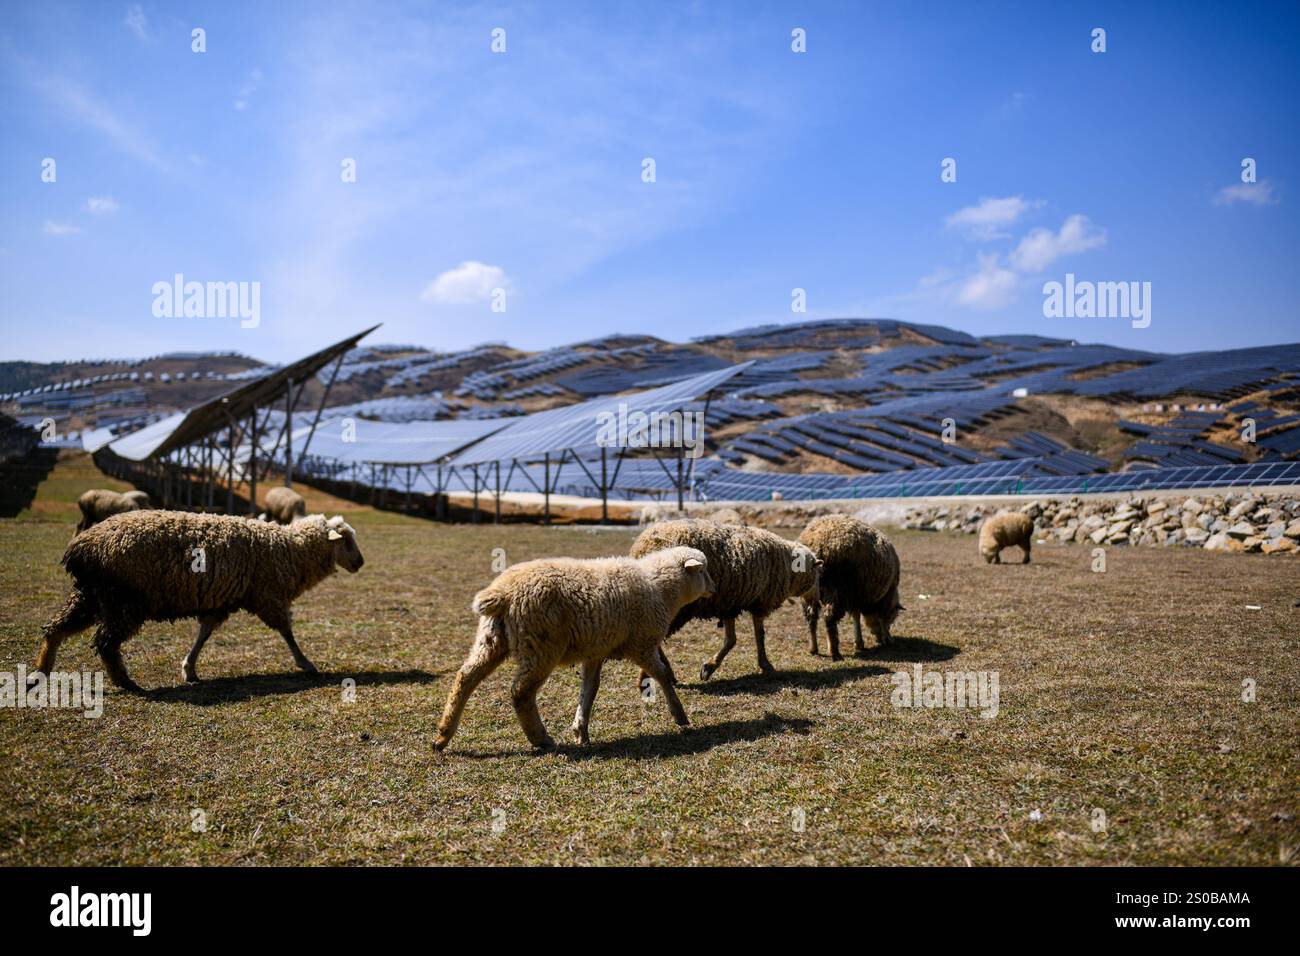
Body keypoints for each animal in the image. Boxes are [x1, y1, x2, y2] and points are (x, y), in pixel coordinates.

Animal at [34, 510, 364, 692]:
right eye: (346, 540)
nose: (360, 563)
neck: (288, 549)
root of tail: (80, 548)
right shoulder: (267, 596)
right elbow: (287, 632)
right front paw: (305, 662)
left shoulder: (218, 602)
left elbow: (203, 634)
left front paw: (189, 668)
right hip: (122, 601)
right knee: (105, 643)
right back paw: (125, 682)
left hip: (91, 596)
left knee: (56, 629)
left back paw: (41, 671)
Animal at [433, 547, 716, 752]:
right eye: (704, 570)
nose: (713, 589)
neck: (660, 588)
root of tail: (502, 592)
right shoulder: (643, 645)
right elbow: (662, 676)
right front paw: (680, 716)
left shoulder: (595, 652)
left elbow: (589, 690)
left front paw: (581, 730)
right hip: (540, 646)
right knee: (521, 693)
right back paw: (541, 739)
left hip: (491, 639)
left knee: (465, 678)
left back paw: (442, 736)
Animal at [629, 519, 821, 681]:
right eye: (817, 573)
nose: (816, 601)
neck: (789, 568)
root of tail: (641, 547)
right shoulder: (759, 602)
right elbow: (759, 636)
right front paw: (766, 666)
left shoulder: (729, 604)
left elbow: (731, 639)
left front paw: (710, 667)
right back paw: (654, 673)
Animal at [797, 514, 903, 659]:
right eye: (893, 616)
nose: (879, 639)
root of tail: (816, 546)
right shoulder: (881, 599)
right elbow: (880, 618)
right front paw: (887, 639)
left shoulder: (856, 595)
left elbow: (855, 616)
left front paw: (859, 643)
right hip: (836, 589)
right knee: (829, 619)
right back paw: (834, 652)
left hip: (809, 593)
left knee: (811, 618)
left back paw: (813, 649)